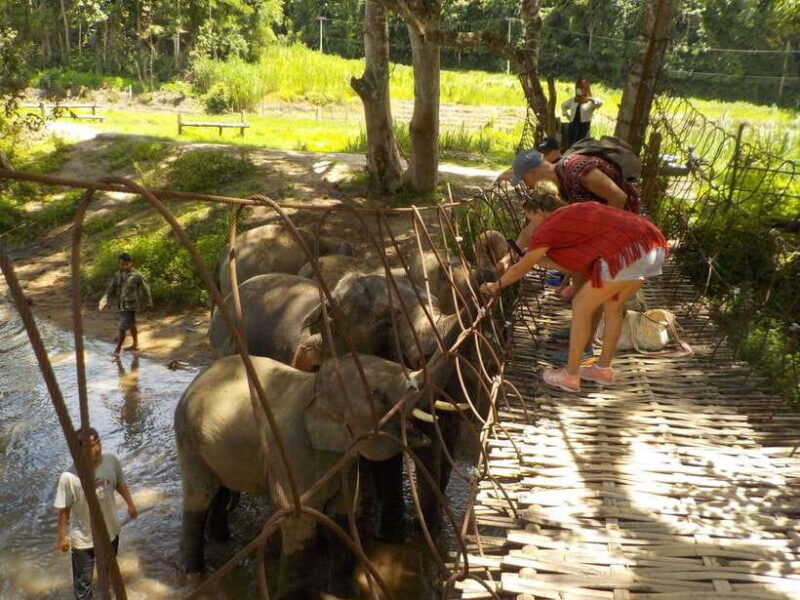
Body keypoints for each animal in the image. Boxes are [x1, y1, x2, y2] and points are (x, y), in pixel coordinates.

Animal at [175, 351, 454, 599]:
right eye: (376, 393)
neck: (316, 386)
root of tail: (197, 378)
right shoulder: (290, 454)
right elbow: (300, 522)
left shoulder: (342, 461)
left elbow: (343, 511)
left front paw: (345, 593)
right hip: (187, 437)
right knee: (200, 495)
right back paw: (193, 573)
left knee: (220, 490)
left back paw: (221, 540)